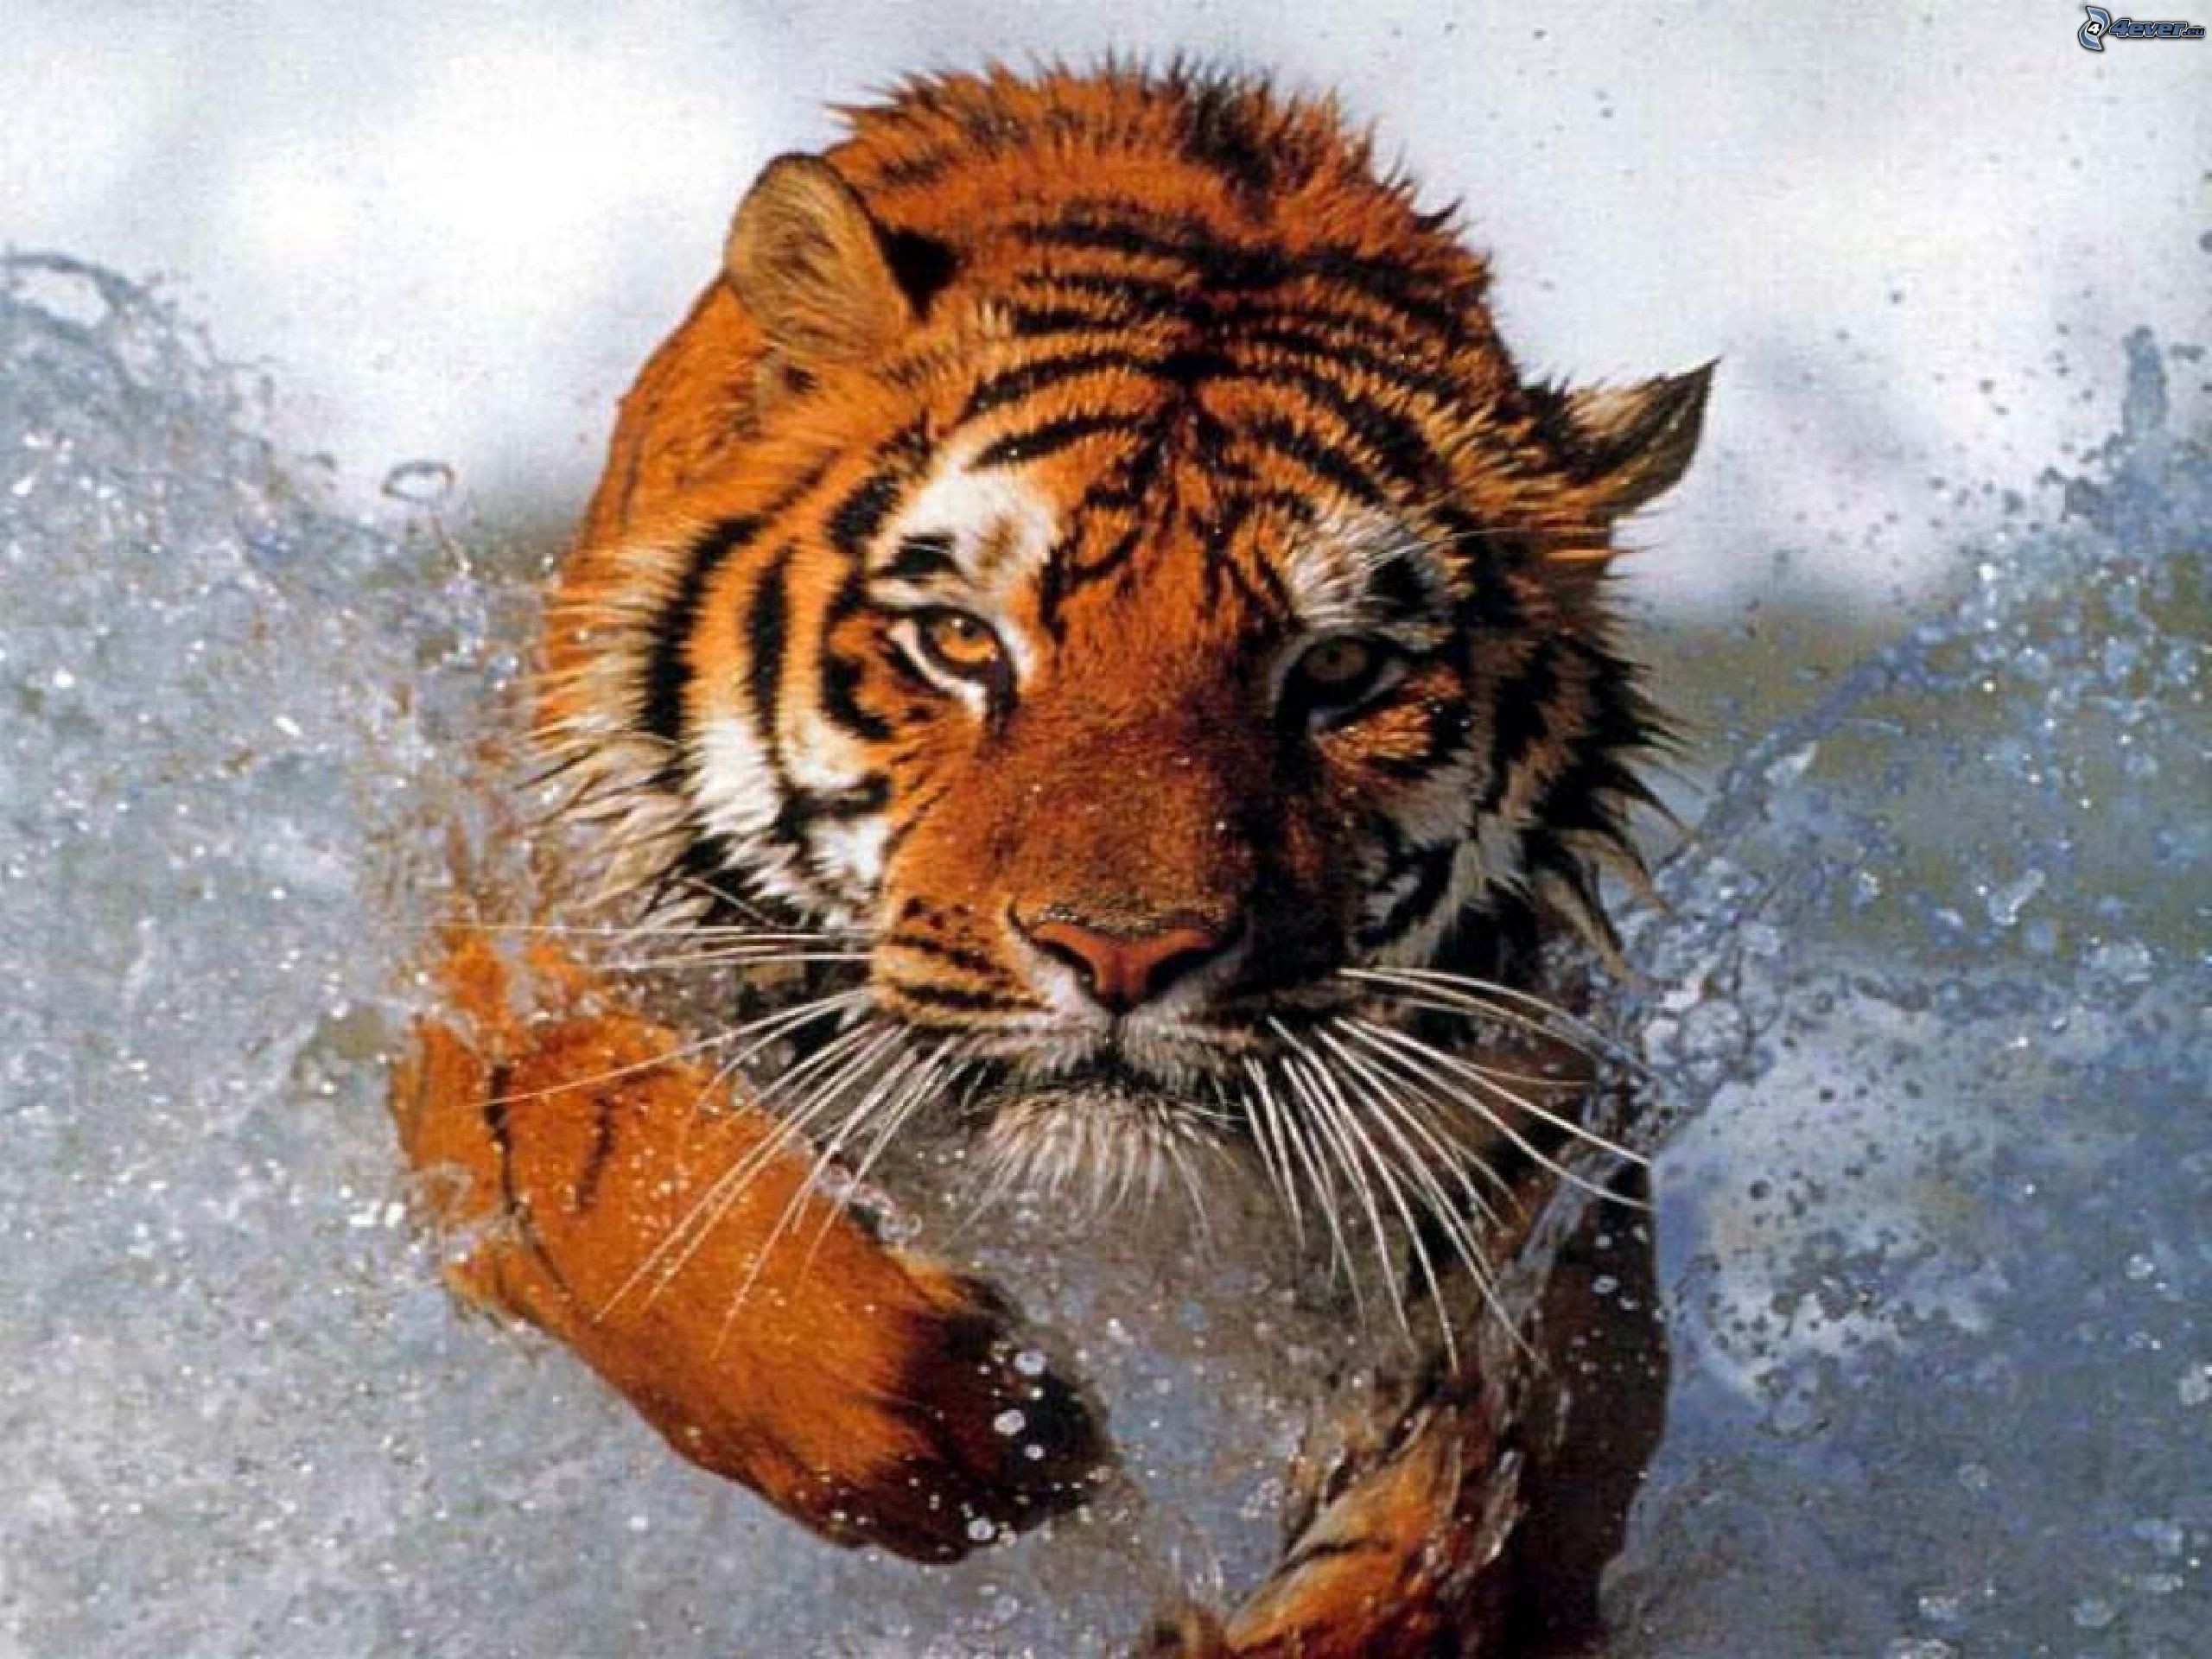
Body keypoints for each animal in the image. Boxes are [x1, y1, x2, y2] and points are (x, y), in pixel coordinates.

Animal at [392, 63, 1708, 1656]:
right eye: (963, 640)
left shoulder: (1529, 1190)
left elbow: (1470, 1517)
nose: (1125, 954)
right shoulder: (525, 950)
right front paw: (987, 1433)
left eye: (1337, 672)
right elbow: (623, 1180)